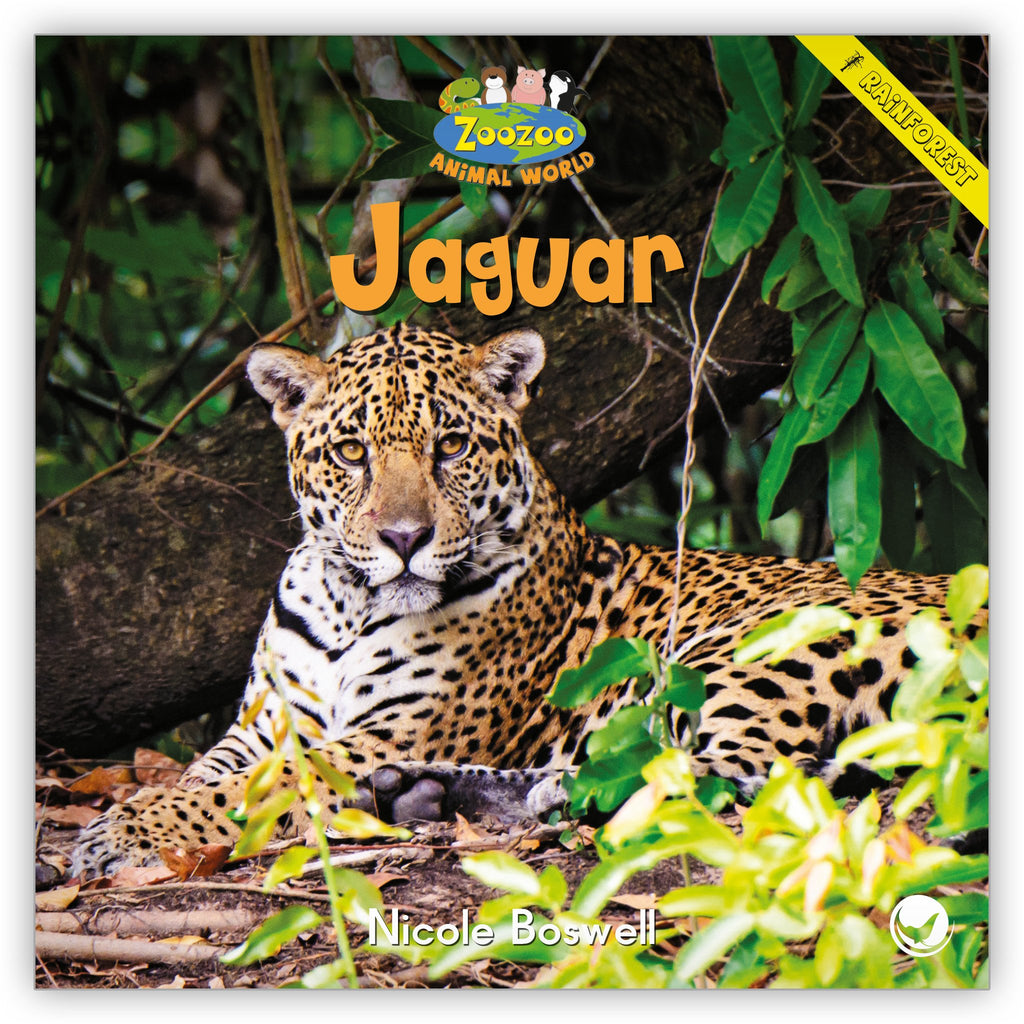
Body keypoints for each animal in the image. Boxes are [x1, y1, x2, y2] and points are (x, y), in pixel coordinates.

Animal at [72, 323, 972, 876]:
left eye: (451, 446)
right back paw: (423, 793)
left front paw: (127, 833)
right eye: (353, 452)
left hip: (757, 647)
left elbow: (259, 786)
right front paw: (139, 816)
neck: (345, 606)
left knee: (724, 776)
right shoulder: (263, 725)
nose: (405, 537)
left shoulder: (392, 726)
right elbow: (207, 776)